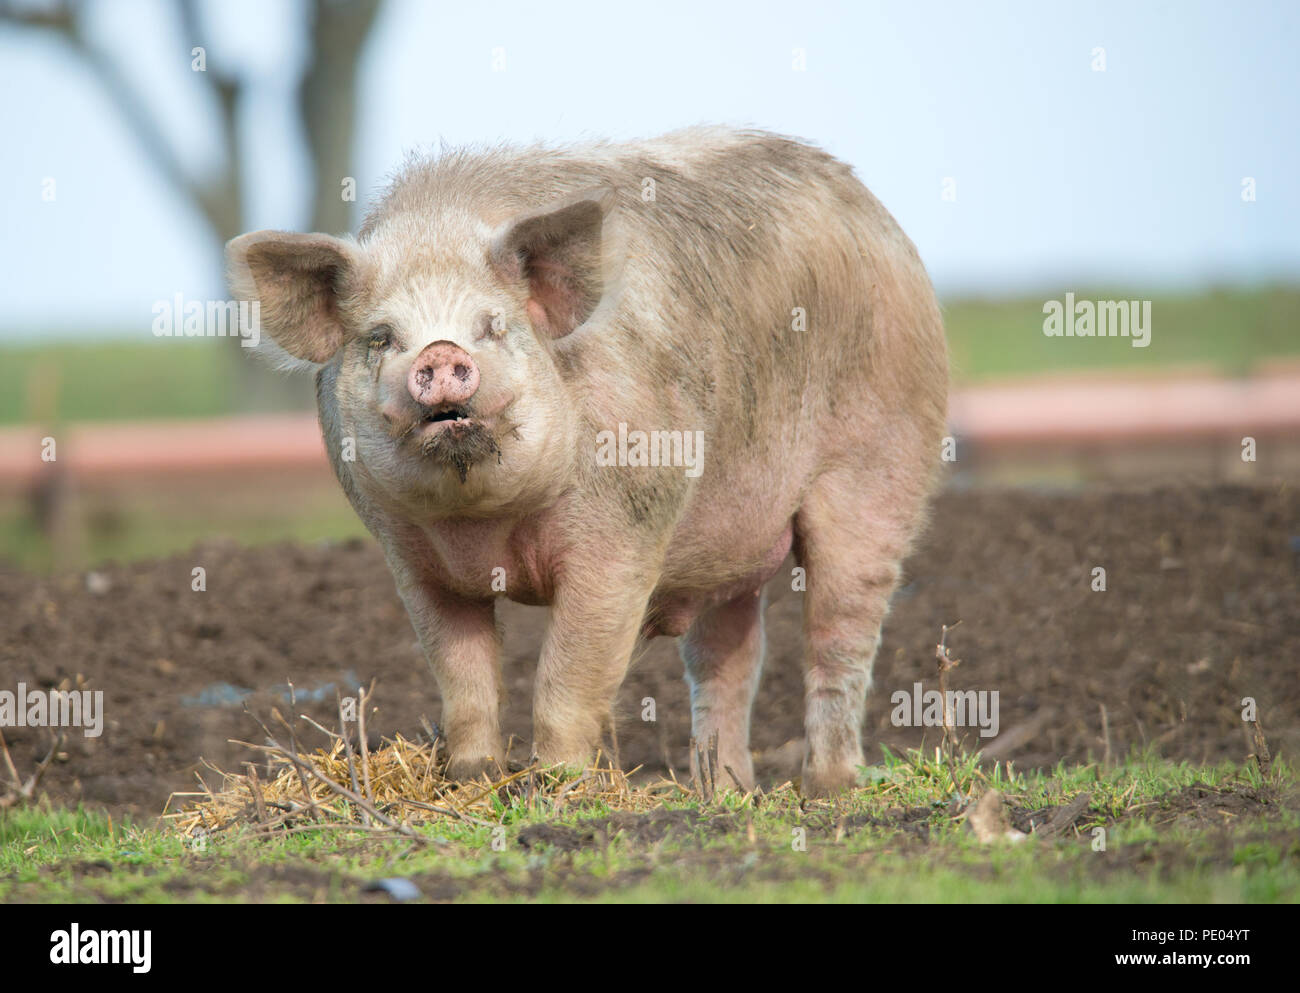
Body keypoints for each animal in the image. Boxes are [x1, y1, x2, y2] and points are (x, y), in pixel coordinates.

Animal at [226, 127, 948, 796]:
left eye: (494, 326)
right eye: (381, 337)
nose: (440, 352)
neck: (482, 520)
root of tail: (879, 219)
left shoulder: (624, 532)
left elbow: (568, 673)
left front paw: (558, 783)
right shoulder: (408, 555)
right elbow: (463, 677)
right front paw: (473, 778)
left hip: (881, 459)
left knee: (839, 633)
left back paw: (830, 787)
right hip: (731, 540)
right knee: (728, 657)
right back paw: (725, 793)